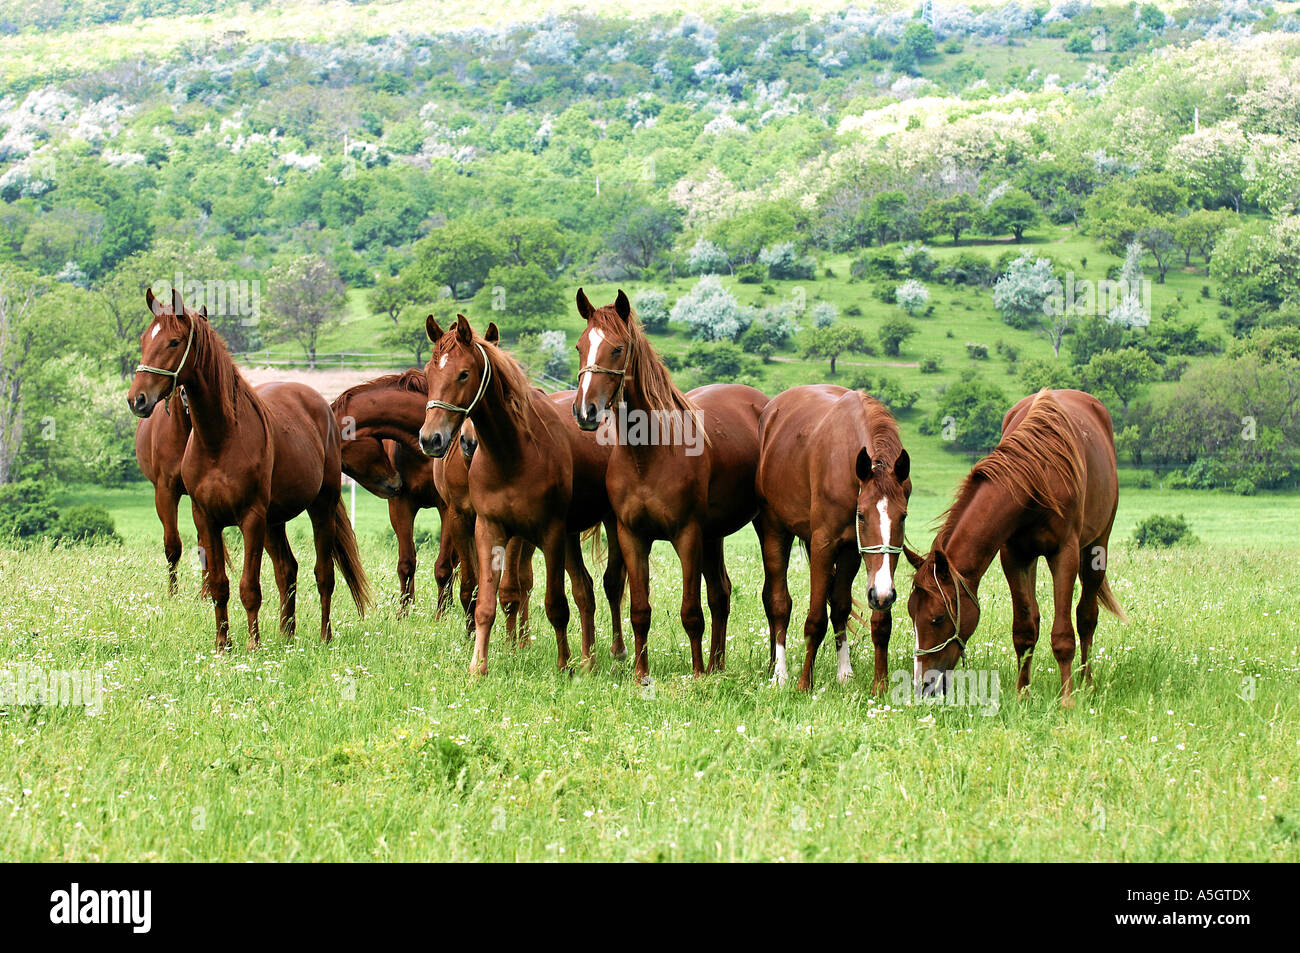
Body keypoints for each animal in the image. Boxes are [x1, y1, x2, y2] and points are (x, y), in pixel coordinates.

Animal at [127, 287, 371, 650]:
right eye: (144, 339)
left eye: (173, 342)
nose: (137, 399)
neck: (219, 440)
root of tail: (318, 404)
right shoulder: (206, 517)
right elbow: (219, 584)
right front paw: (223, 644)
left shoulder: (251, 518)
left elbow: (249, 587)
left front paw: (253, 645)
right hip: (275, 520)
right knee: (287, 569)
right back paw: (287, 634)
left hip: (320, 507)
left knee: (323, 573)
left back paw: (324, 636)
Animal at [419, 314, 621, 675]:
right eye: (430, 373)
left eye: (463, 373)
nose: (431, 439)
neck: (512, 454)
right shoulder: (488, 528)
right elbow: (485, 600)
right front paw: (478, 668)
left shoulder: (548, 533)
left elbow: (554, 604)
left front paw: (562, 665)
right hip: (569, 535)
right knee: (585, 589)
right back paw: (588, 661)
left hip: (608, 525)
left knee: (613, 584)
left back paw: (615, 652)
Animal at [572, 289, 768, 684]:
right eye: (580, 346)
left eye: (617, 348)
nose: (586, 412)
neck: (648, 455)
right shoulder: (632, 536)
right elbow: (640, 610)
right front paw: (640, 674)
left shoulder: (687, 536)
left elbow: (691, 612)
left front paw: (695, 675)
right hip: (714, 535)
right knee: (721, 593)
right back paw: (717, 665)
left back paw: (716, 668)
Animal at [755, 385, 912, 692]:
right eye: (861, 515)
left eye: (902, 517)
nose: (882, 594)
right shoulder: (823, 545)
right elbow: (815, 619)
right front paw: (804, 683)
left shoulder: (854, 551)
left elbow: (856, 613)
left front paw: (874, 682)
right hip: (774, 529)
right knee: (779, 603)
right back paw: (780, 674)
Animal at [905, 388, 1125, 708]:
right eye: (912, 614)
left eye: (938, 618)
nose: (923, 686)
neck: (1035, 476)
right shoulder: (1015, 557)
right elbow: (1024, 630)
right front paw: (1023, 695)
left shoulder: (1065, 555)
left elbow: (1063, 634)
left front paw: (1067, 700)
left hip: (1097, 547)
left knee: (1086, 616)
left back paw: (1087, 684)